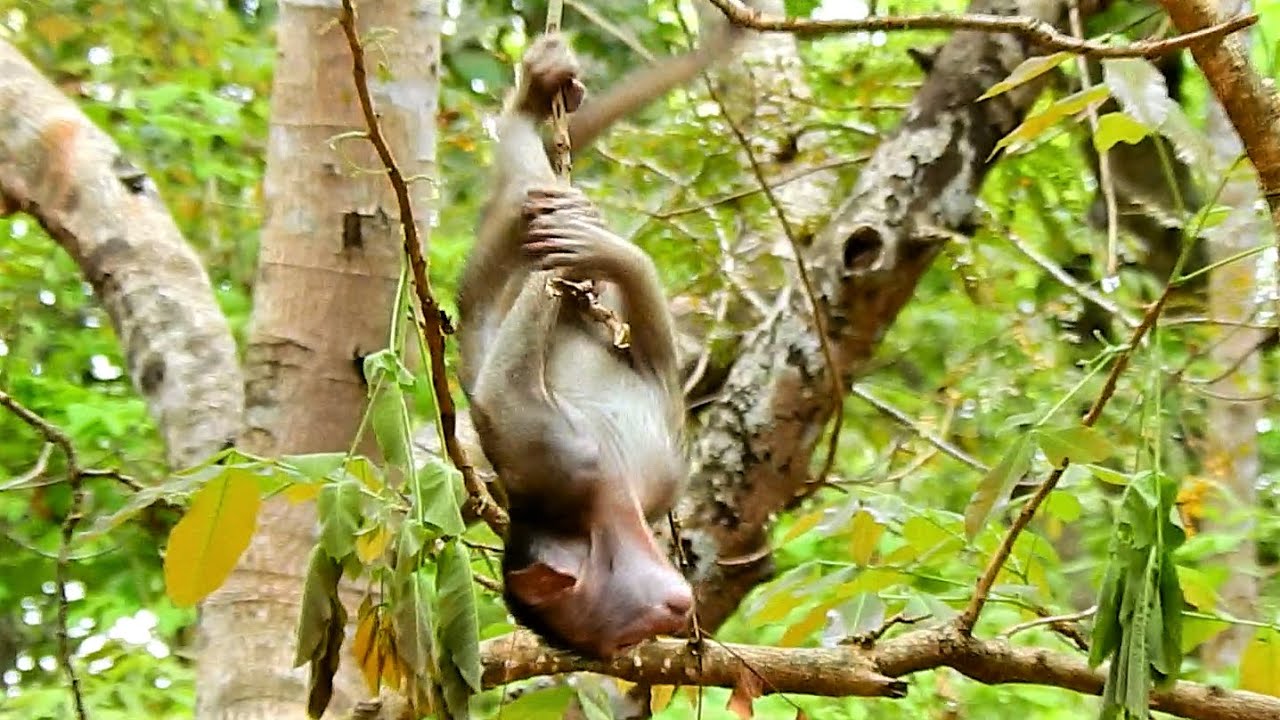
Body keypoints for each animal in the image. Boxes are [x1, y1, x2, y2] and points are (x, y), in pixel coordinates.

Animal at [457, 26, 739, 658]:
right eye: (627, 633)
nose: (676, 612)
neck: (611, 506)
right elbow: (654, 358)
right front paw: (602, 256)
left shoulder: (563, 460)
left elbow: (495, 397)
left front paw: (566, 246)